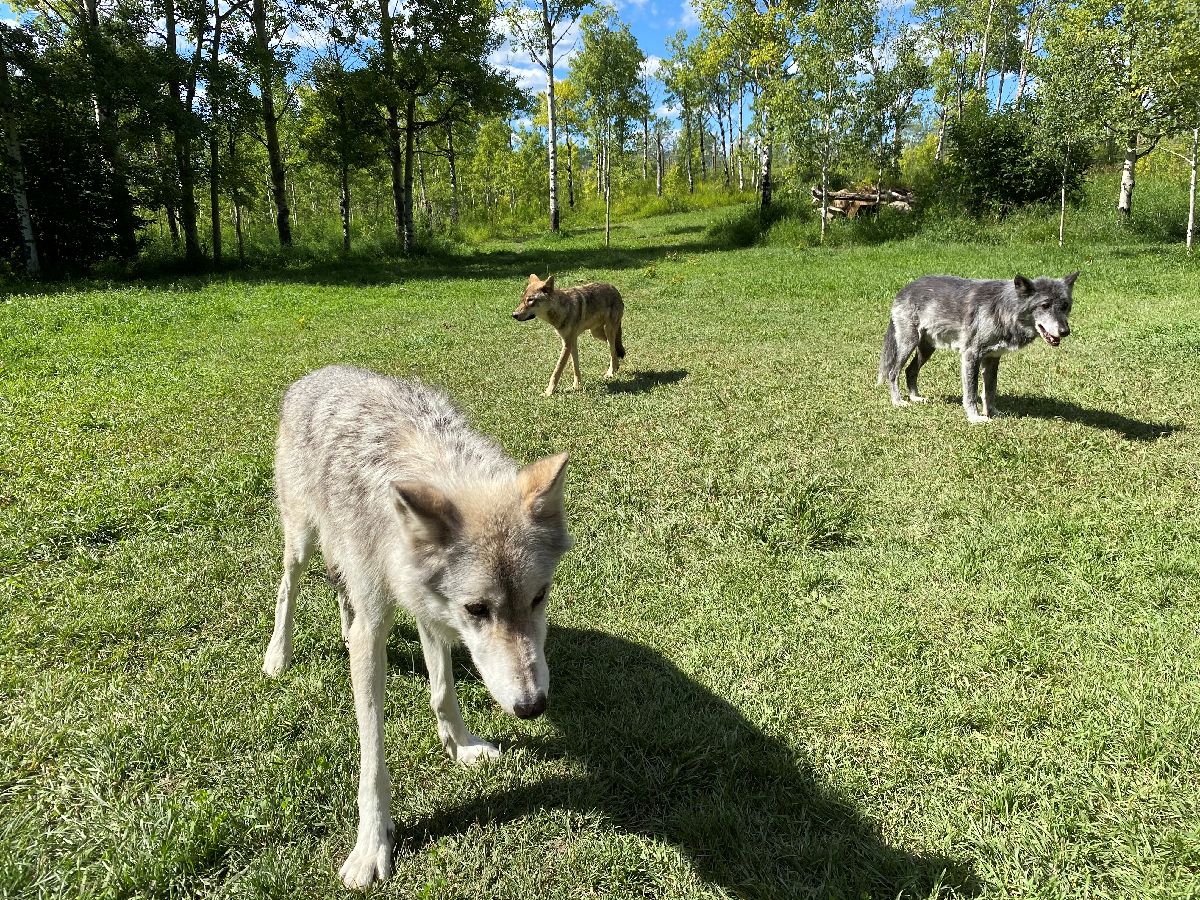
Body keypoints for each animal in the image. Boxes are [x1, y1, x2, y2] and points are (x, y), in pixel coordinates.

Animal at [261, 365, 572, 889]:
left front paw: (461, 746)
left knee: (341, 592)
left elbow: (442, 691)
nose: (532, 706)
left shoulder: (429, 607)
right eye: (477, 609)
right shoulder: (381, 627)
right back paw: (277, 657)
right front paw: (372, 846)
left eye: (539, 597)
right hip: (301, 541)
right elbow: (371, 762)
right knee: (288, 588)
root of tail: (316, 374)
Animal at [878, 272, 1079, 423]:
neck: (1002, 309)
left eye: (1065, 306)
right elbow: (972, 392)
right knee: (893, 372)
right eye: (1045, 305)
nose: (1065, 331)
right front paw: (975, 418)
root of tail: (905, 289)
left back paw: (915, 397)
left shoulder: (992, 359)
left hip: (926, 350)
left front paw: (993, 413)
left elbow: (989, 391)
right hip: (908, 344)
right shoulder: (970, 356)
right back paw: (898, 401)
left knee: (910, 370)